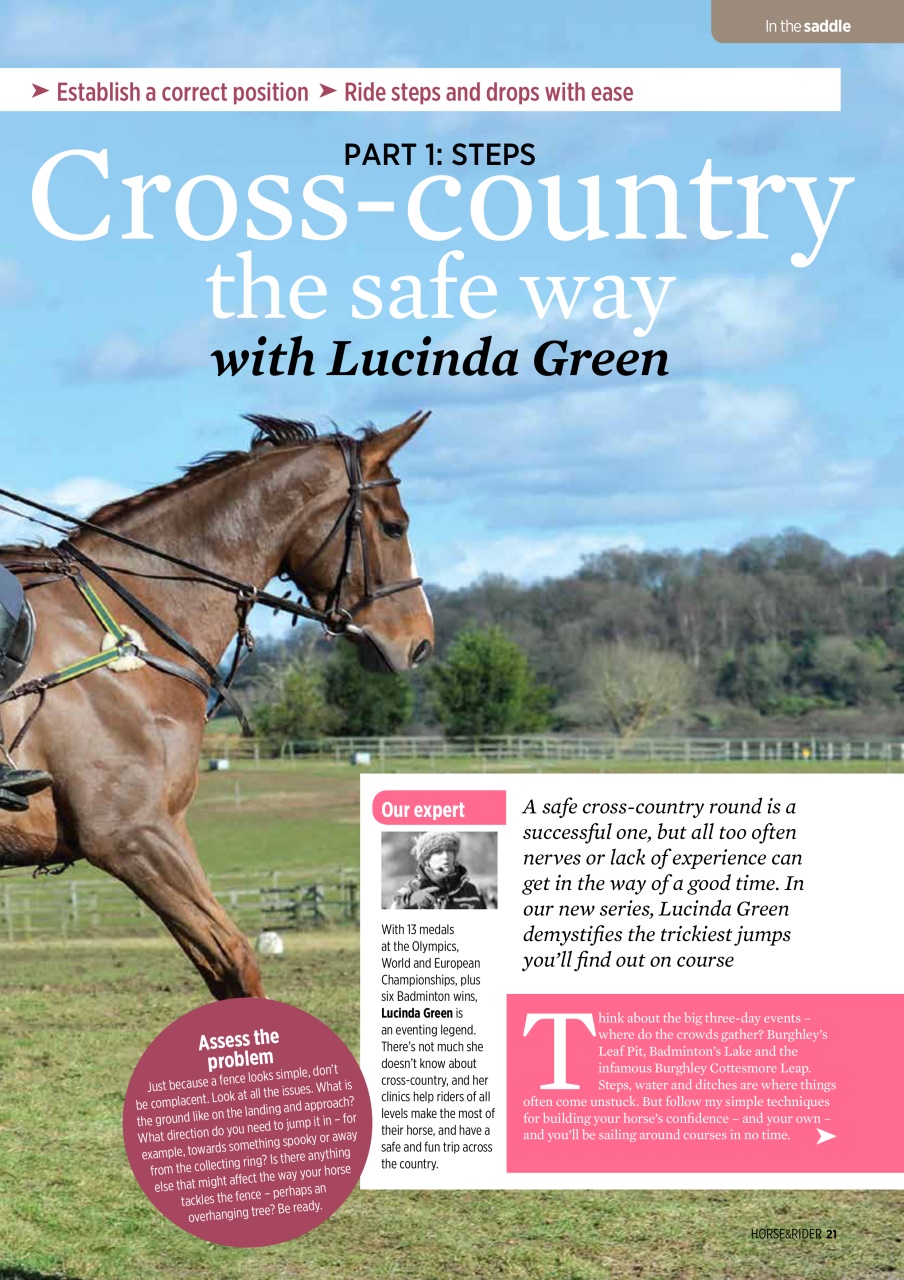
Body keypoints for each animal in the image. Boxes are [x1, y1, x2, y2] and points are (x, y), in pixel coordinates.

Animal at [0, 411, 434, 999]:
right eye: (394, 527)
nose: (420, 643)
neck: (134, 623)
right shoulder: (129, 834)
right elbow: (234, 958)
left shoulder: (164, 826)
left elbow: (219, 965)